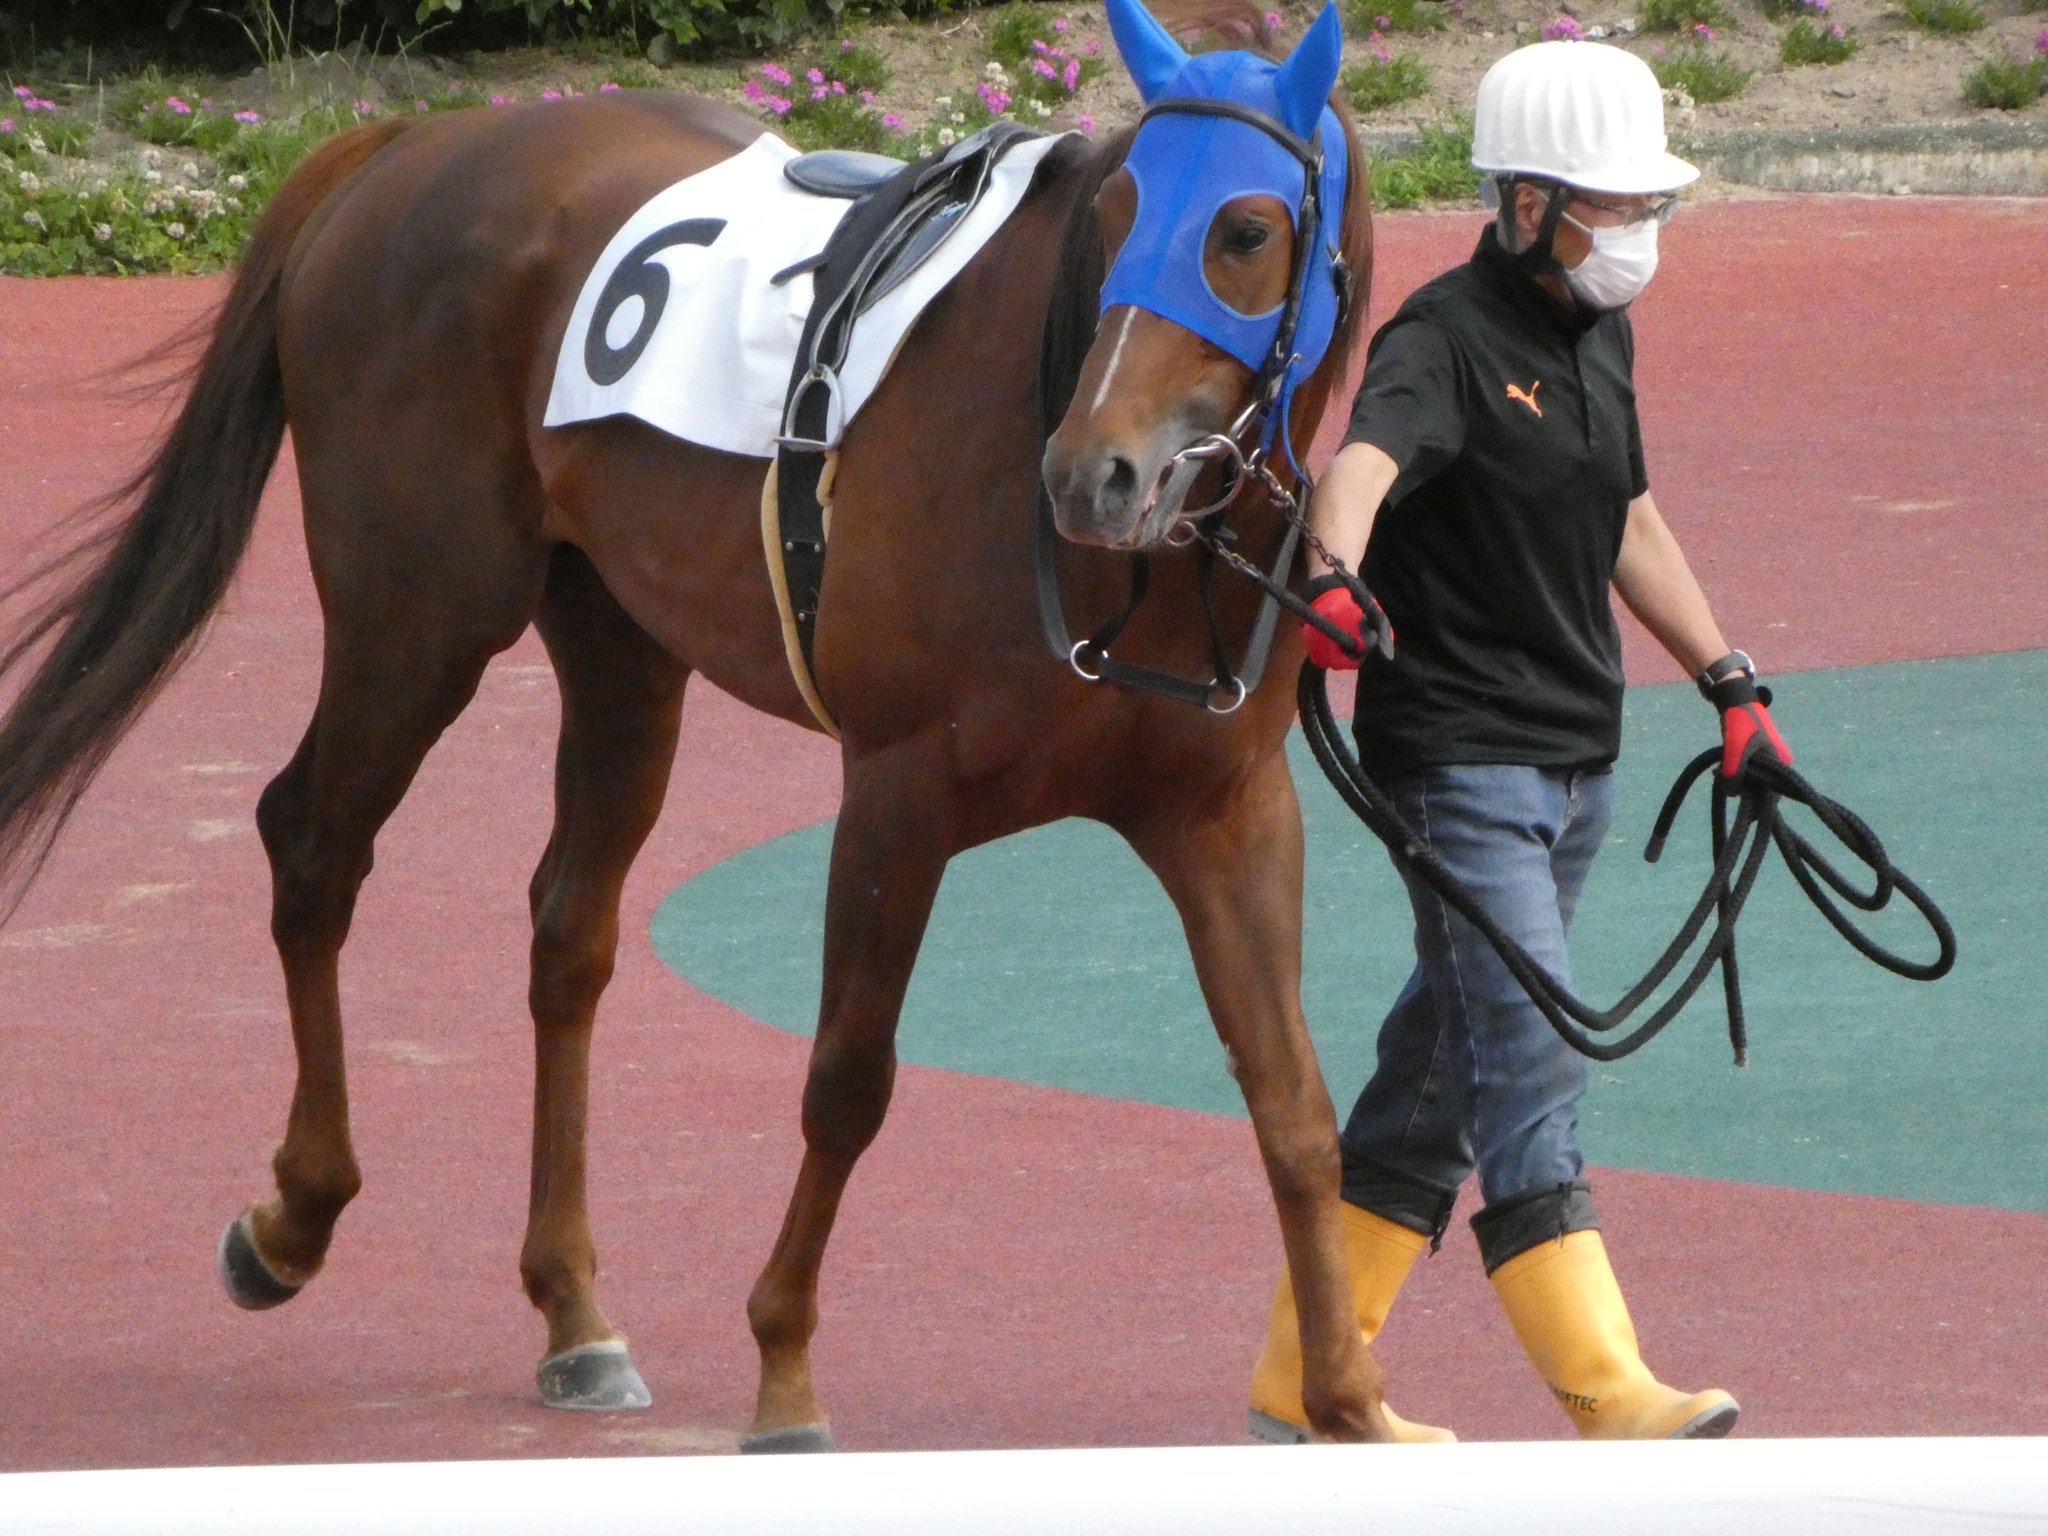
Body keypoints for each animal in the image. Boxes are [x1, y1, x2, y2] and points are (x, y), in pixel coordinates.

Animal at [0, 0, 1387, 1447]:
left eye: (1244, 231)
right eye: (1115, 214)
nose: (1091, 471)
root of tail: (407, 144)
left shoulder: (1226, 814)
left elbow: (1292, 1102)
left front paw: (1345, 1396)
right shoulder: (898, 792)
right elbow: (847, 1081)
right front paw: (783, 1368)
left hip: (617, 647)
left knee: (568, 932)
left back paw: (573, 1312)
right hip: (418, 614)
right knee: (313, 844)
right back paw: (295, 1218)